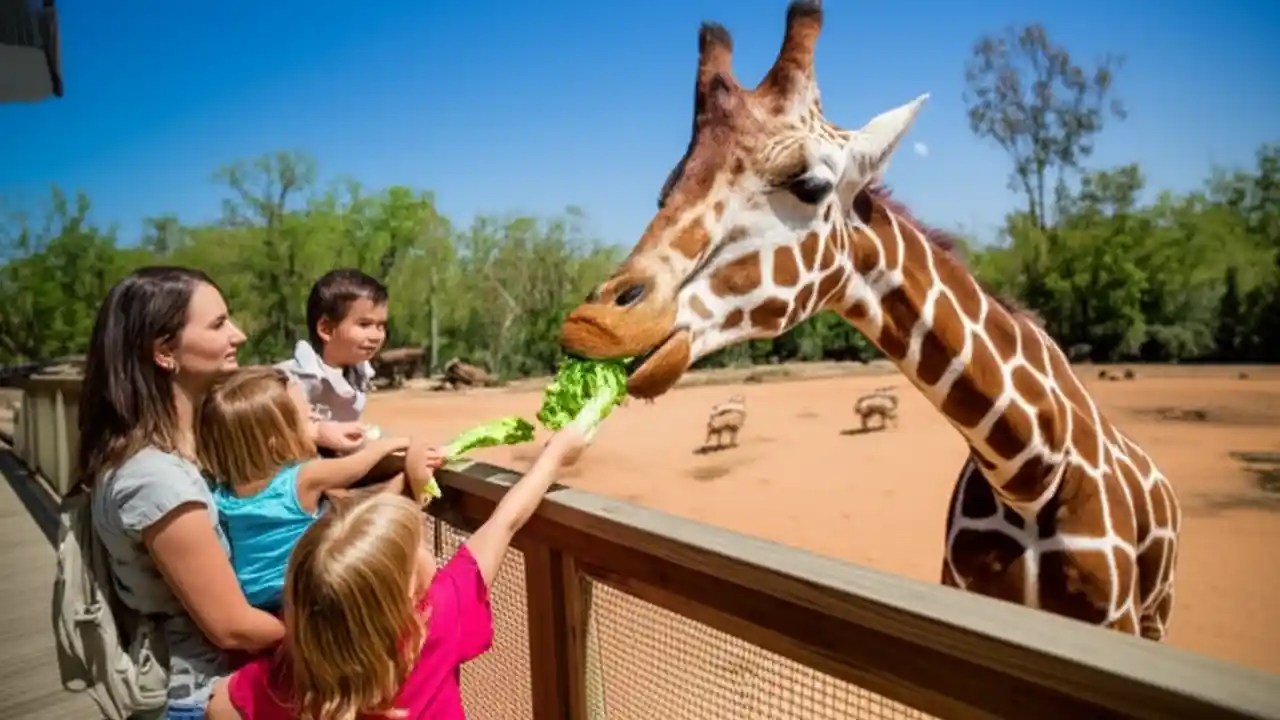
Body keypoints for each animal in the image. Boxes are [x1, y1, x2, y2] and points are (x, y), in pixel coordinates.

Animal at [558, 0, 1182, 639]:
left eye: (810, 184)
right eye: (666, 188)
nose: (595, 323)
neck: (1030, 469)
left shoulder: (1117, 622)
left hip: (1158, 612)